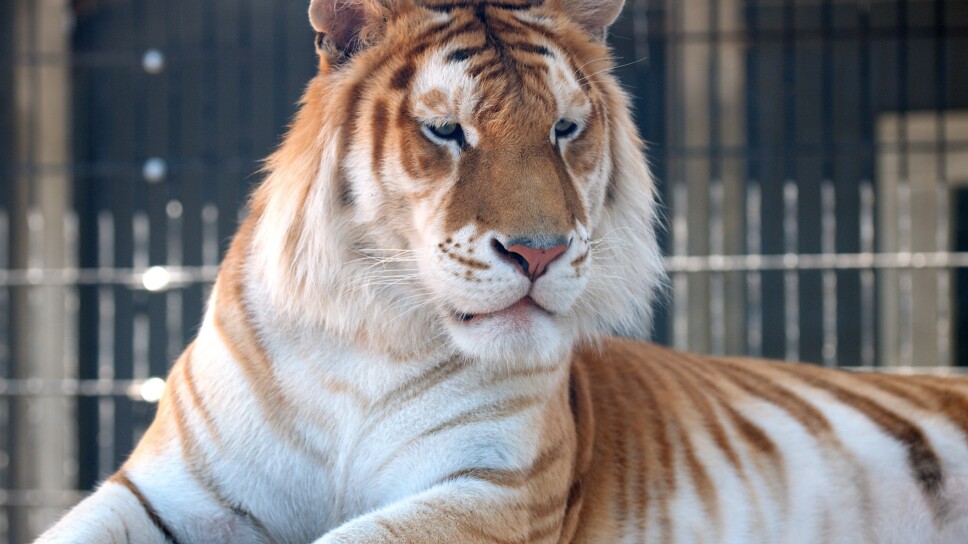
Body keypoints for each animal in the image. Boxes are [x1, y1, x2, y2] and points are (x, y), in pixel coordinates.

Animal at [36, 0, 968, 542]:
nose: (540, 252)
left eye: (564, 129)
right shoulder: (168, 490)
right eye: (447, 132)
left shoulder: (494, 488)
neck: (369, 340)